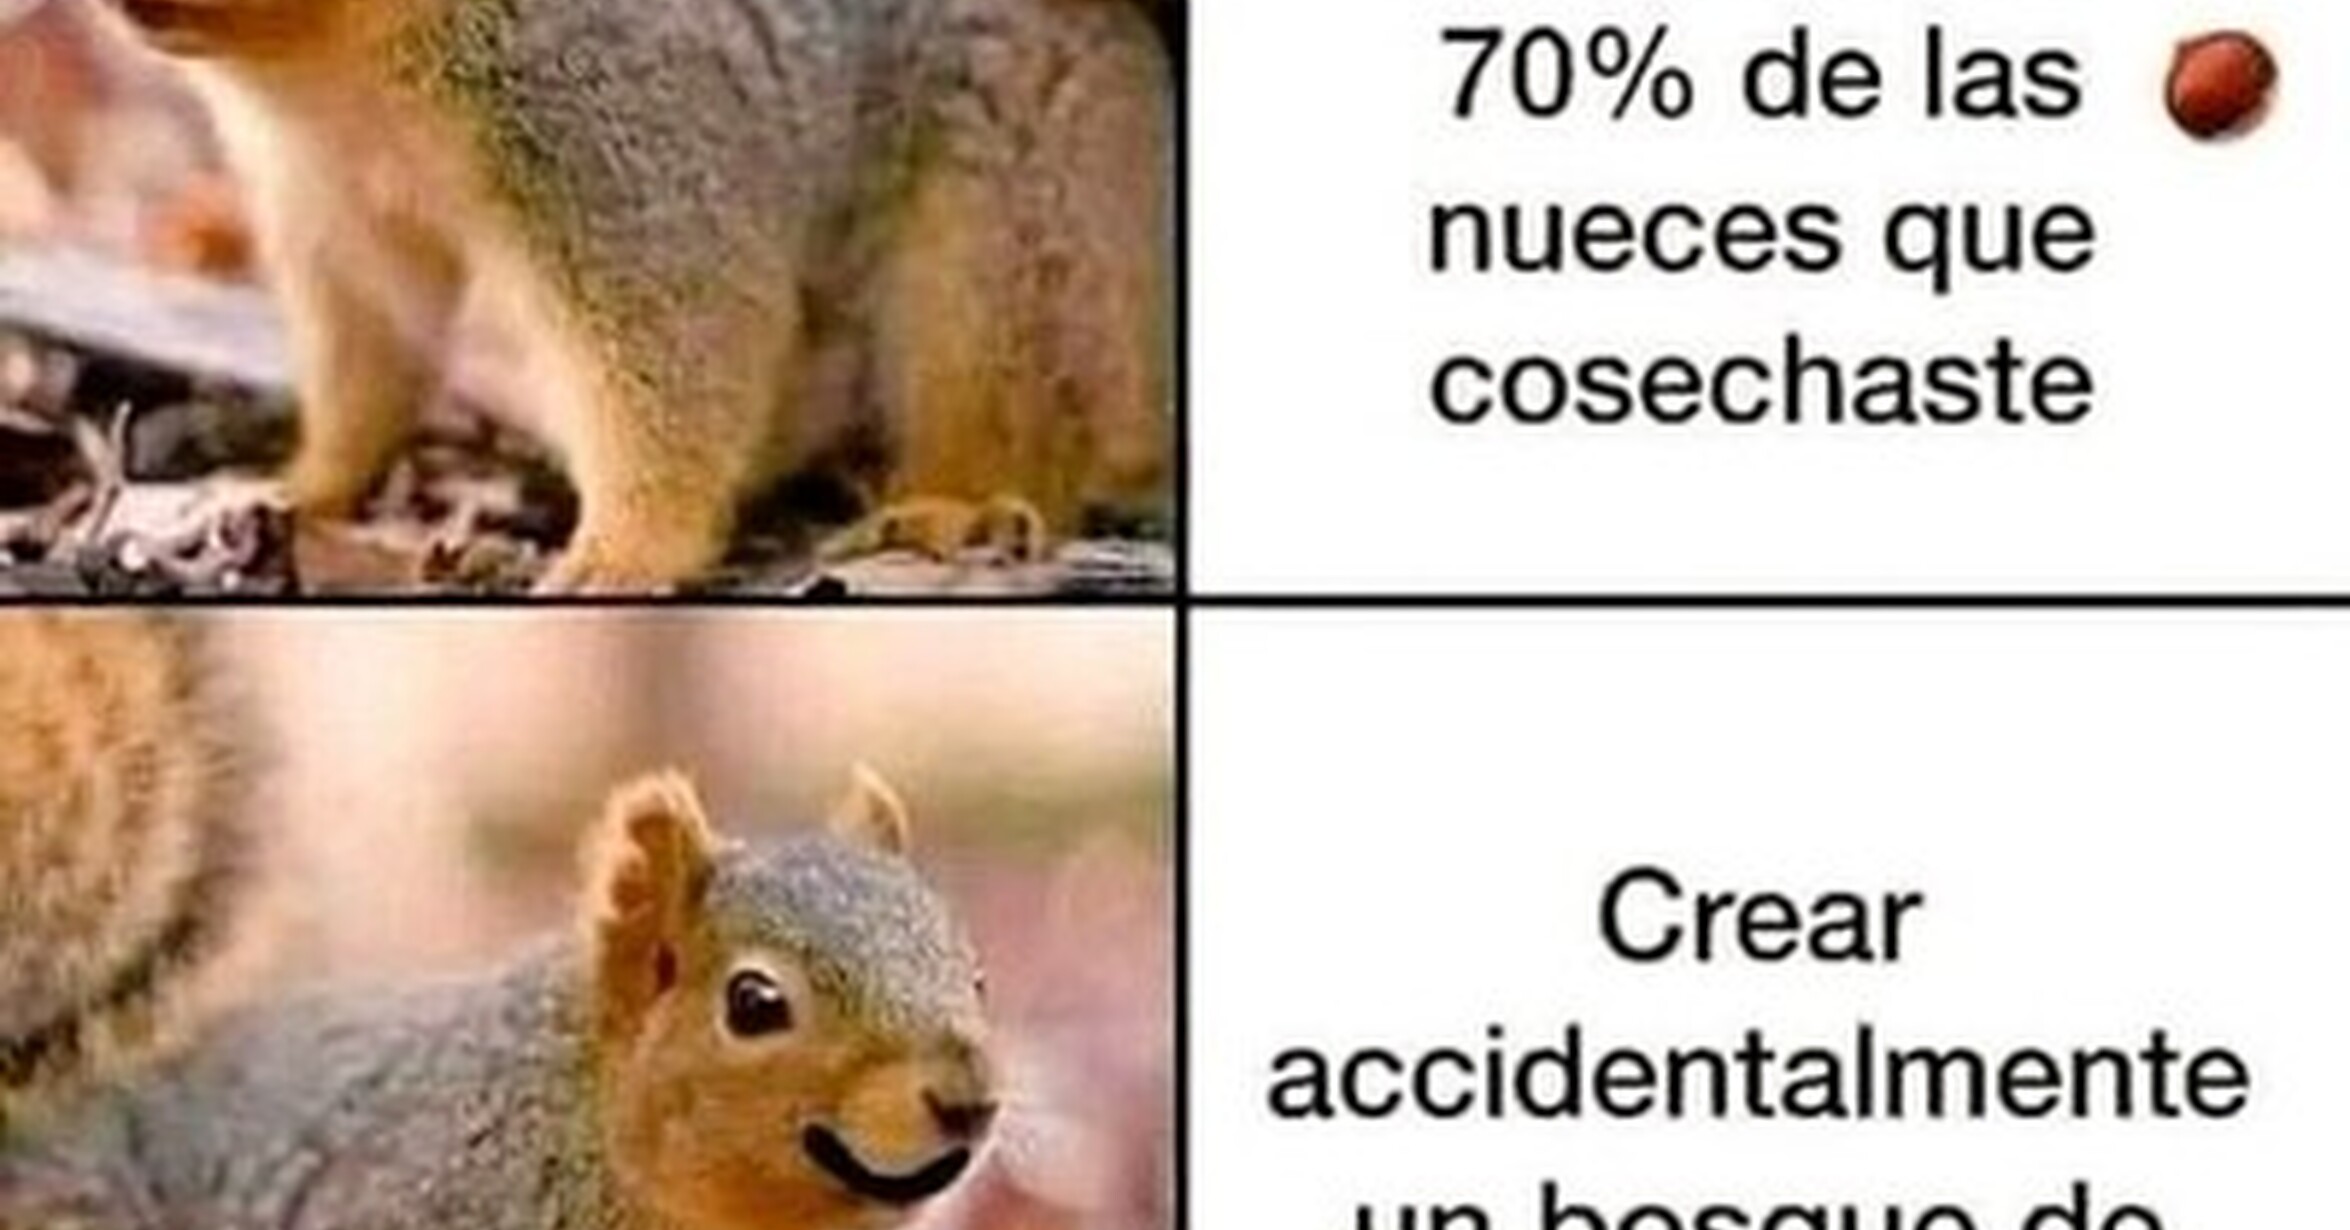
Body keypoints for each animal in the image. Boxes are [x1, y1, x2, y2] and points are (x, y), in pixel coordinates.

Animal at [82, 0, 1174, 591]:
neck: (331, 74)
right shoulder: (333, 204)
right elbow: (367, 355)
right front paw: (296, 486)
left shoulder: (614, 113)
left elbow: (687, 318)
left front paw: (622, 555)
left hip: (1022, 184)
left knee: (1014, 381)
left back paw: (953, 503)